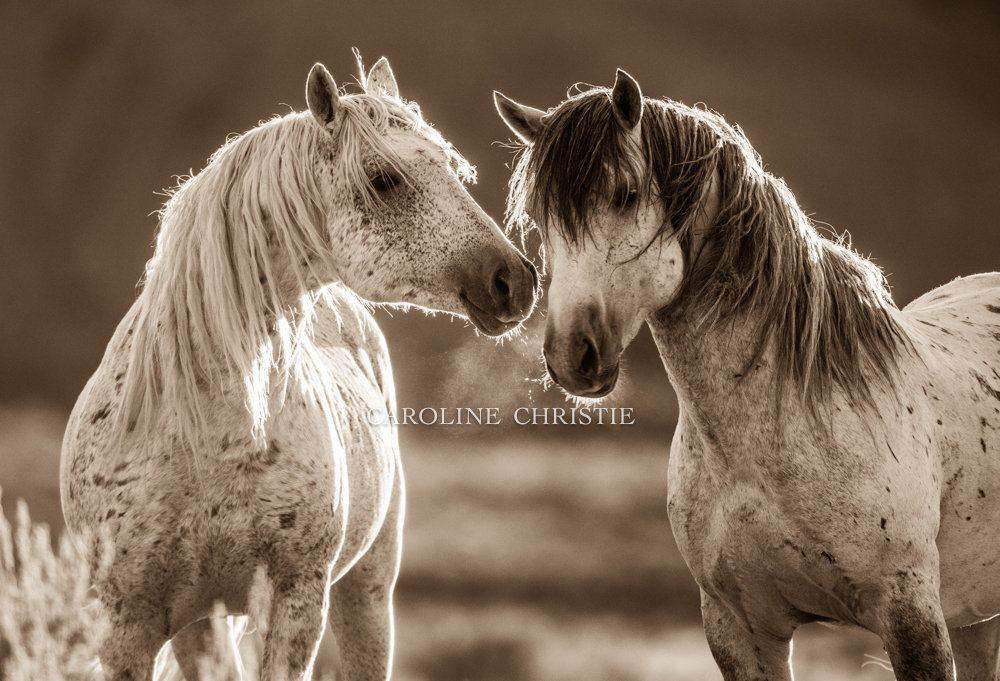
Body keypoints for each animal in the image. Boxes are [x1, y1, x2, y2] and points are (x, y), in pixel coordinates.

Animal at [61, 55, 538, 681]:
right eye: (384, 179)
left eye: (453, 170)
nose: (517, 280)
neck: (208, 431)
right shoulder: (128, 626)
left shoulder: (296, 600)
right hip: (200, 624)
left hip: (366, 591)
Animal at [495, 69, 1000, 680]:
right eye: (539, 216)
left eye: (626, 194)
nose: (573, 355)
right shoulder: (740, 628)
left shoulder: (911, 618)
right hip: (973, 617)